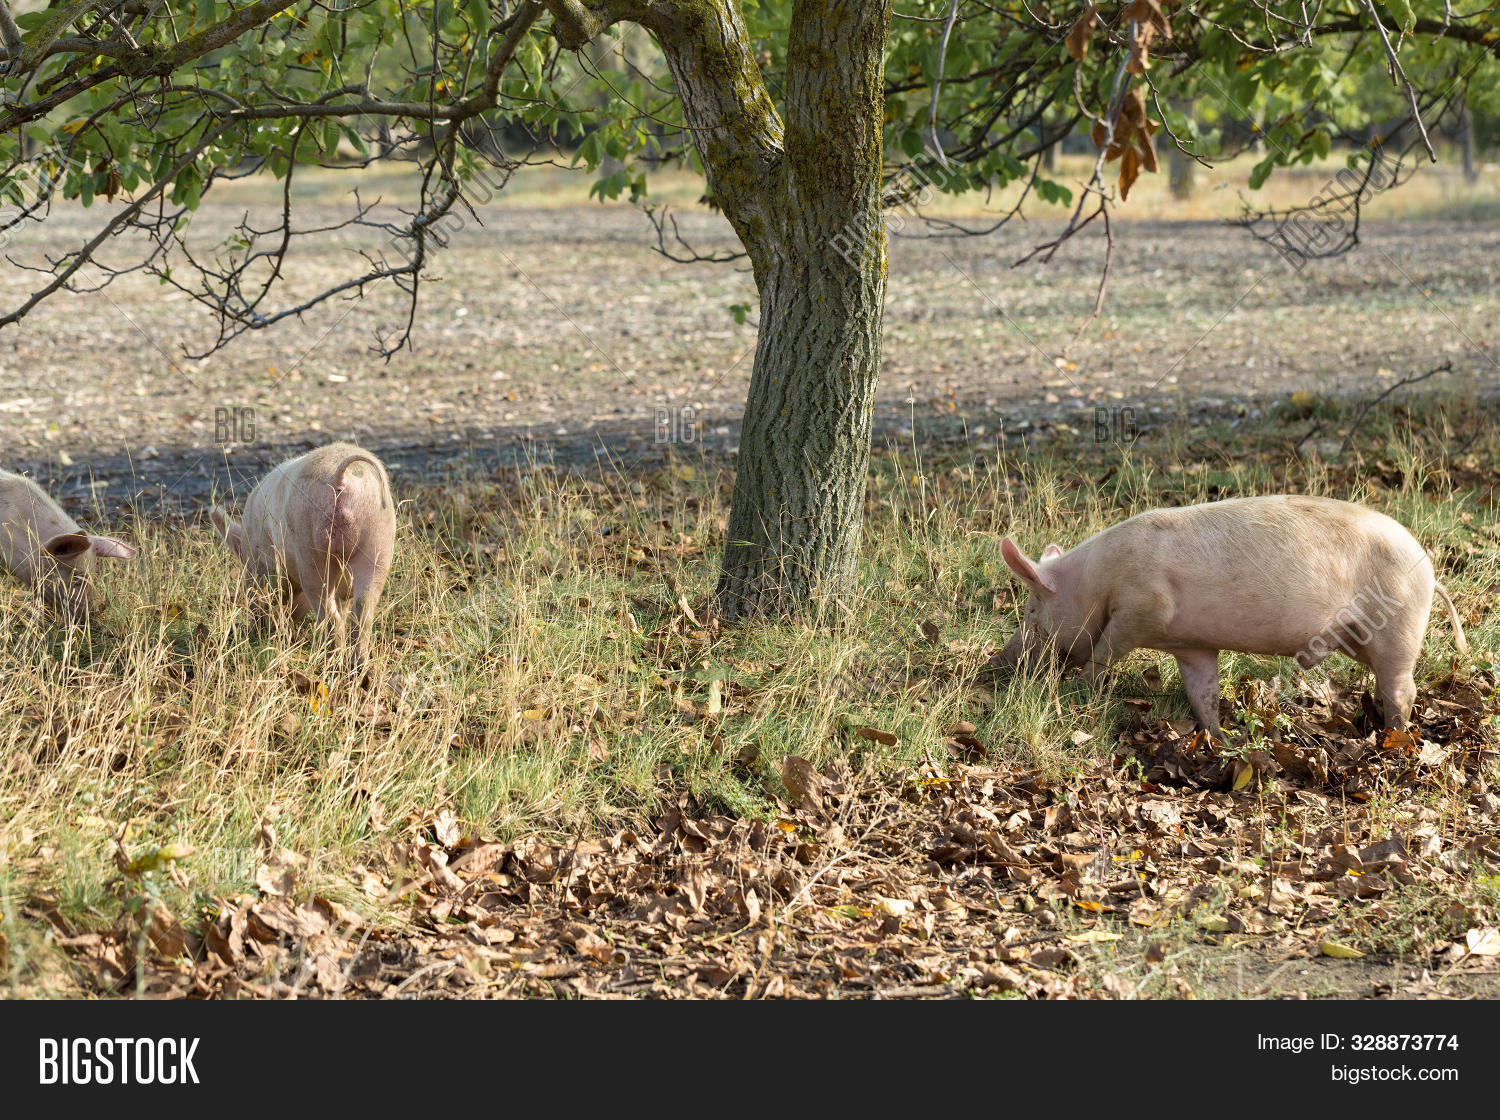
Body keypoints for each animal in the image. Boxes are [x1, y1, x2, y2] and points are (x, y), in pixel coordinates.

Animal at [210, 443, 395, 671]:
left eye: (247, 581)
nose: (254, 629)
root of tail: (339, 477)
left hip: (310, 549)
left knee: (329, 613)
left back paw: (331, 661)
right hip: (378, 540)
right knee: (362, 609)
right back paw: (359, 667)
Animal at [995, 495, 1468, 736]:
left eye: (1032, 610)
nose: (998, 661)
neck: (1096, 582)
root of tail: (1430, 570)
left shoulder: (1145, 608)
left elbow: (1104, 652)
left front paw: (1084, 690)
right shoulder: (1191, 646)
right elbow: (1202, 693)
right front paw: (1218, 738)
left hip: (1399, 628)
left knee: (1403, 689)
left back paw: (1394, 739)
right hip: (1361, 639)